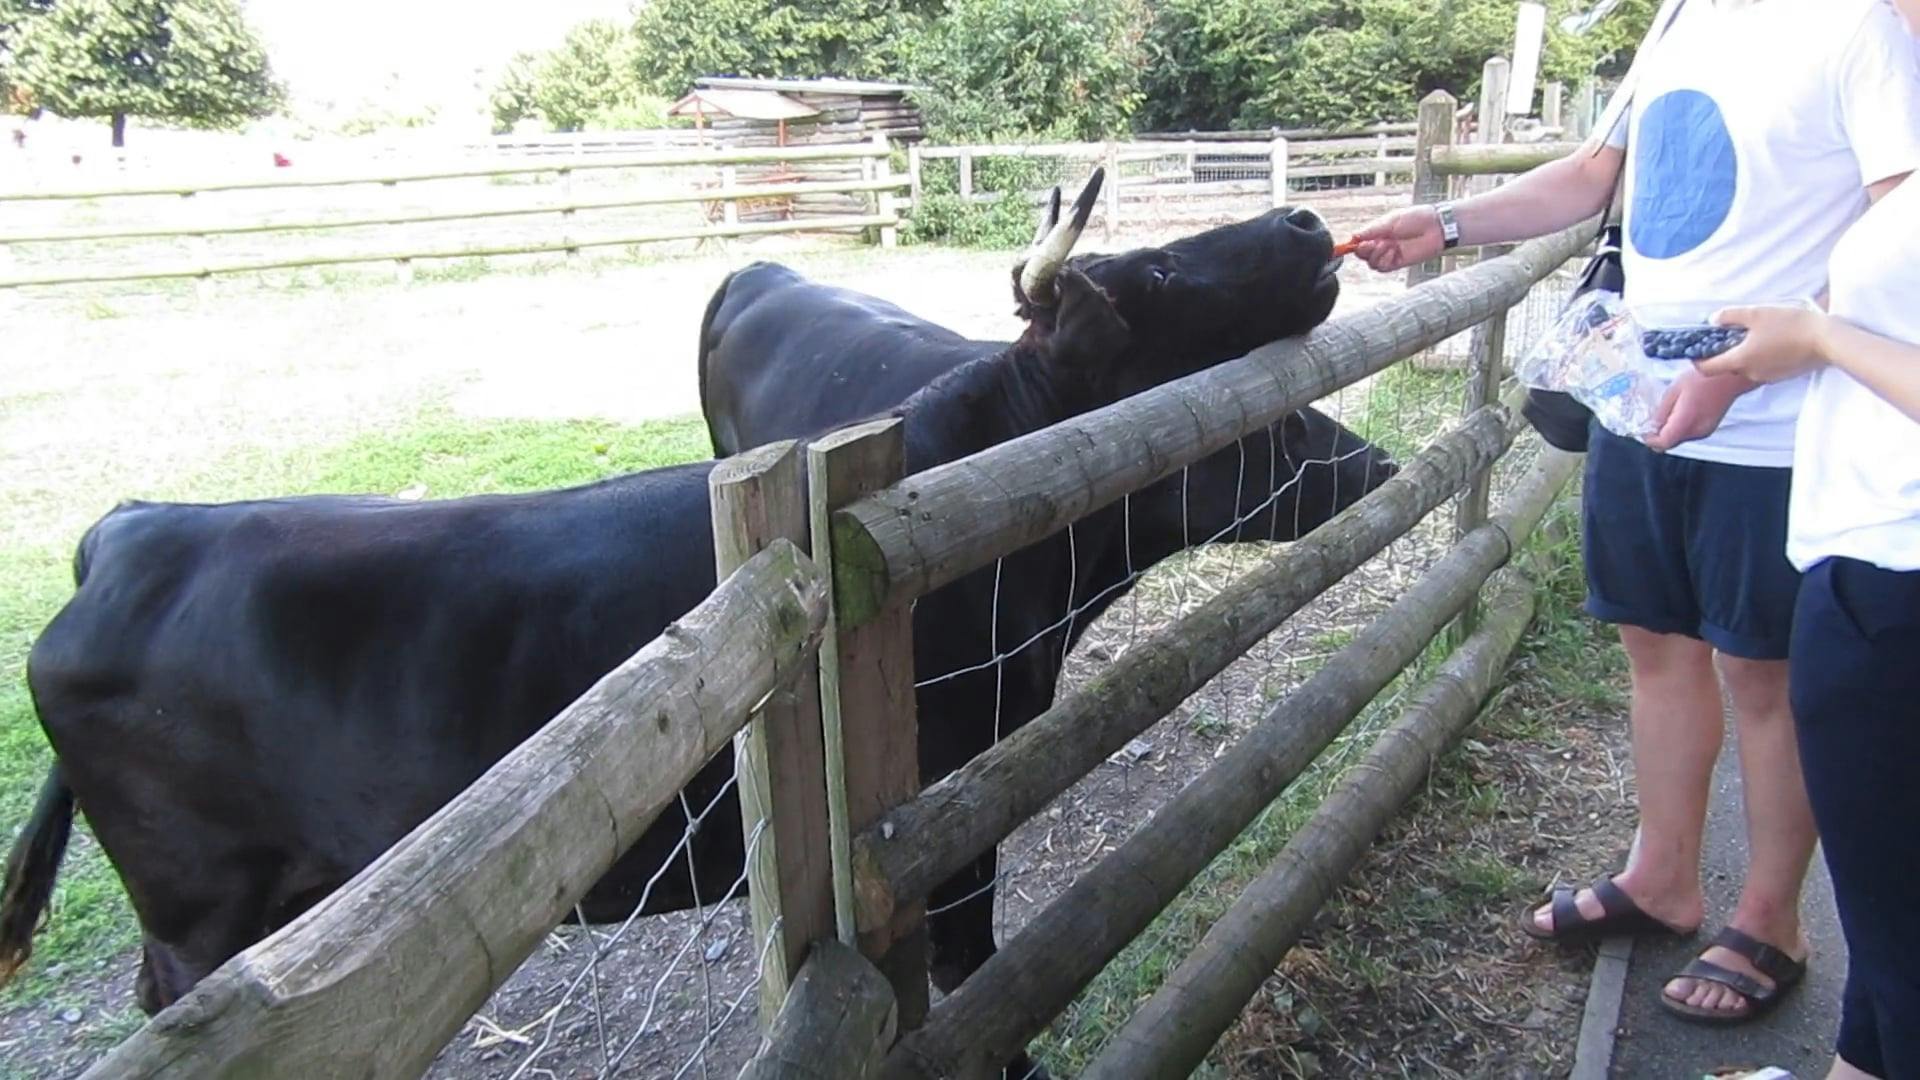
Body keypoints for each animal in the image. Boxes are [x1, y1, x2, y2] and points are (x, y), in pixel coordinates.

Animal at [0, 173, 1354, 1075]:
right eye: (1162, 272)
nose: (1305, 222)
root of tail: (125, 531)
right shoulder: (952, 798)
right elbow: (970, 954)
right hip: (200, 914)